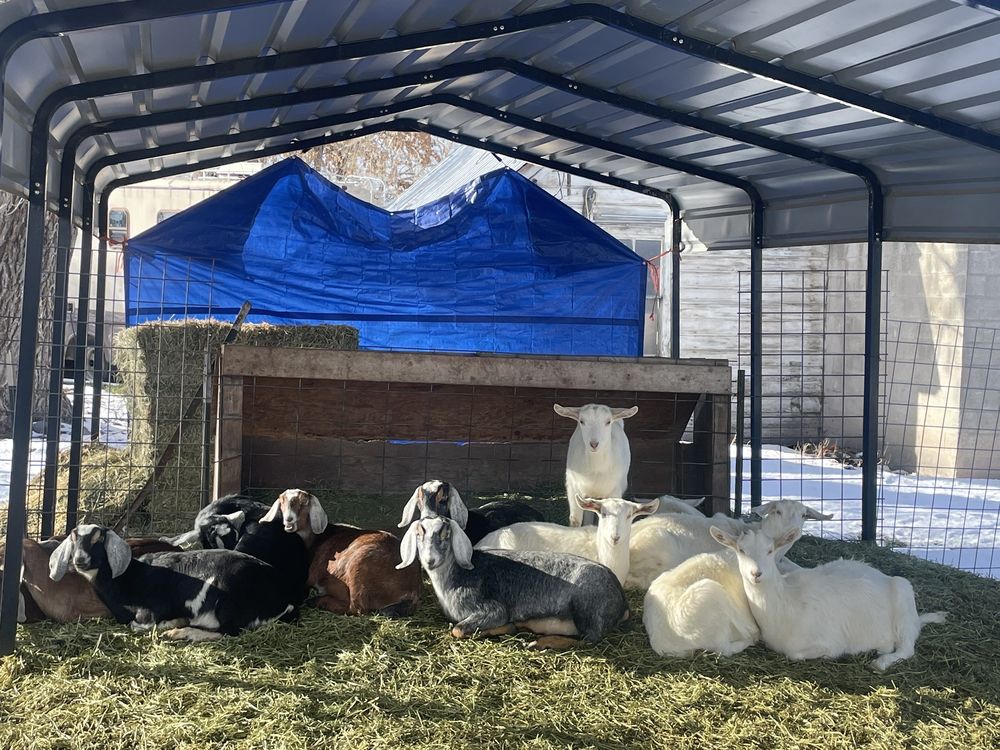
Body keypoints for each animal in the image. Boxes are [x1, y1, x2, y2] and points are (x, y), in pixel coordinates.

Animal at [50, 524, 298, 641]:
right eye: (74, 538)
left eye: (98, 538)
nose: (80, 560)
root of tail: (284, 599)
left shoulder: (152, 610)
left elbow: (140, 624)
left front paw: (172, 624)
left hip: (230, 600)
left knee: (229, 631)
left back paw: (182, 632)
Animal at [398, 516, 629, 649]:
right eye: (419, 533)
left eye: (446, 533)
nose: (430, 560)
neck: (455, 575)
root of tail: (623, 602)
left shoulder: (492, 608)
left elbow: (457, 629)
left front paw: (501, 628)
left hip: (587, 608)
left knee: (589, 640)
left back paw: (539, 642)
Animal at [711, 525, 946, 670]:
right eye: (741, 550)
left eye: (770, 550)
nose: (756, 573)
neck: (786, 603)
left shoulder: (831, 642)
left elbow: (796, 655)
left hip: (903, 594)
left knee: (907, 648)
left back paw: (881, 661)